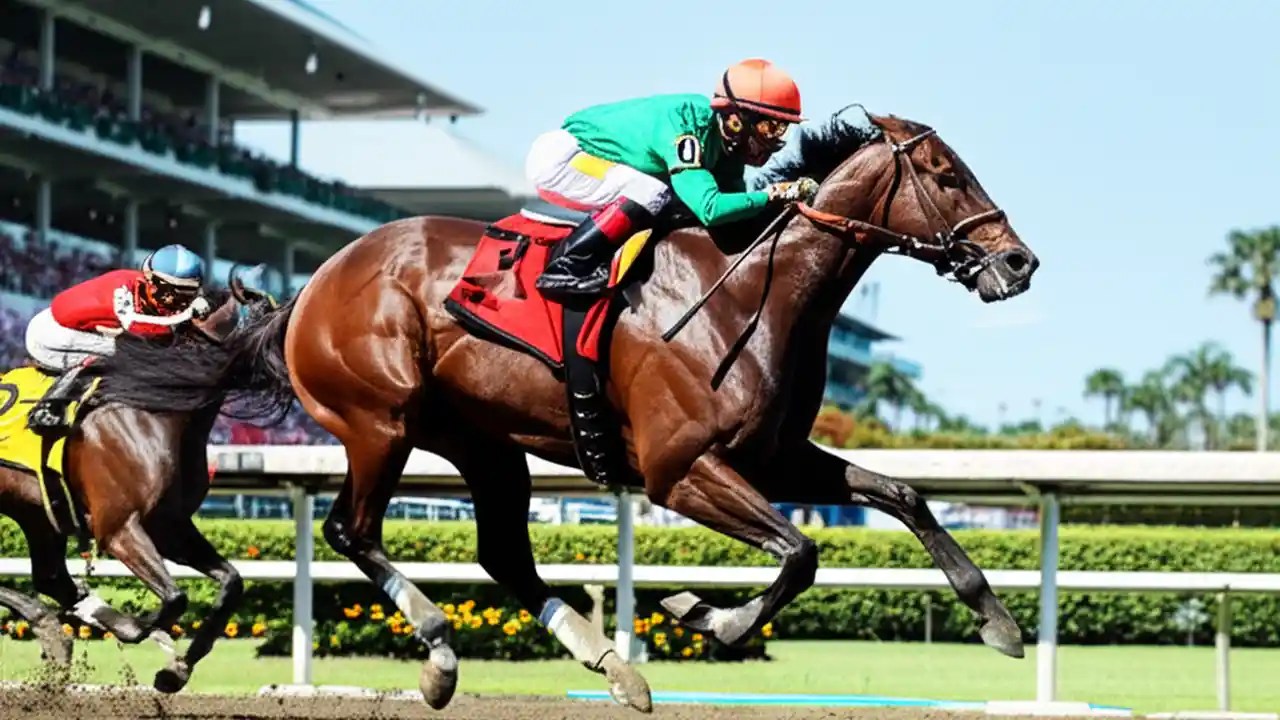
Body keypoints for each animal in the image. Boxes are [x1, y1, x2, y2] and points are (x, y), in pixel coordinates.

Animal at [0, 273, 277, 692]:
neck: (158, 405)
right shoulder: (119, 527)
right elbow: (175, 599)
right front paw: (136, 630)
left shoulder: (169, 524)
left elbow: (231, 583)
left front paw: (175, 671)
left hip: (36, 513)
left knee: (52, 580)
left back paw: (56, 631)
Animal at [121, 106, 1040, 713]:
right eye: (948, 175)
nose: (1018, 263)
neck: (749, 291)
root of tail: (311, 284)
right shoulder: (679, 470)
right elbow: (802, 553)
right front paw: (710, 615)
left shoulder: (774, 456)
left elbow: (904, 497)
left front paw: (997, 622)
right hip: (379, 421)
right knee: (355, 531)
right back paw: (441, 654)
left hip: (484, 444)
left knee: (501, 556)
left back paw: (610, 662)